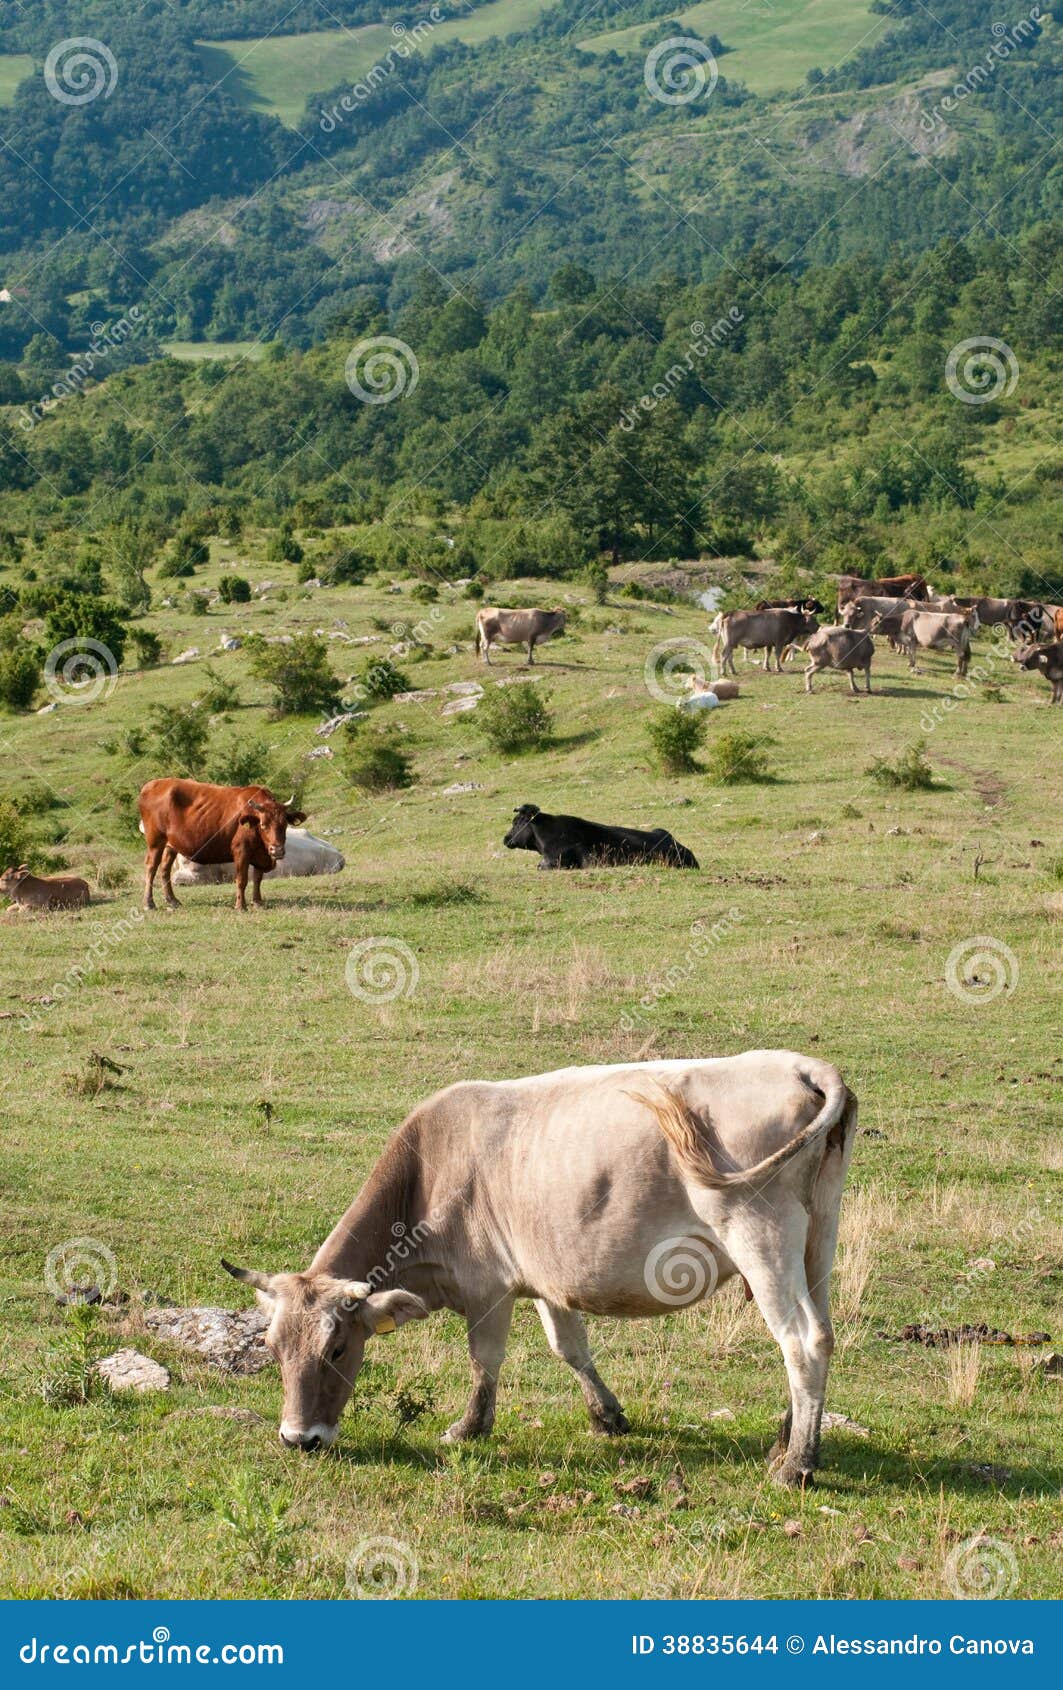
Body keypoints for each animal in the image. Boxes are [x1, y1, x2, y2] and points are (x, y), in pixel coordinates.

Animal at [138, 780, 307, 913]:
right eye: (263, 824)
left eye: (284, 824)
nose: (277, 850)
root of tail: (153, 784)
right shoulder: (241, 851)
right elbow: (242, 880)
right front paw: (240, 906)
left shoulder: (261, 854)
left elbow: (258, 879)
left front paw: (258, 903)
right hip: (155, 842)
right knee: (151, 868)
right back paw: (149, 903)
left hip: (170, 845)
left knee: (165, 869)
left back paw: (172, 900)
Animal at [222, 1049, 858, 1489]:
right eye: (273, 1349)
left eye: (337, 1349)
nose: (298, 1438)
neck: (428, 1170)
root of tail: (801, 1064)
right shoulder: (550, 1276)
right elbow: (569, 1347)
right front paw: (607, 1416)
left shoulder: (487, 1288)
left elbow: (484, 1359)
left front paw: (468, 1428)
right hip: (817, 1237)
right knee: (821, 1332)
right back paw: (789, 1440)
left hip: (761, 1233)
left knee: (799, 1341)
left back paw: (797, 1465)